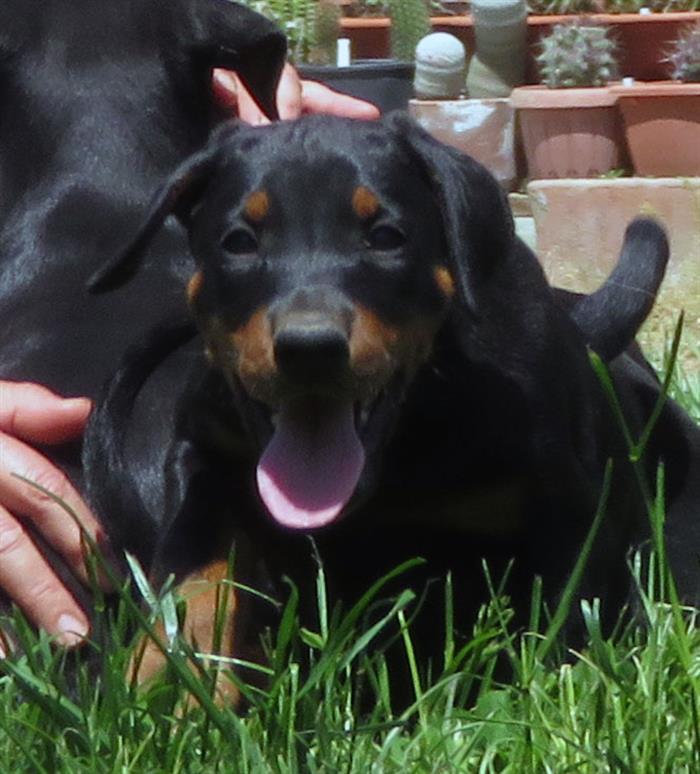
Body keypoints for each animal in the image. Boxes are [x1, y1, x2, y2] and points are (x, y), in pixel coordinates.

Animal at [86, 113, 700, 692]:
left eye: (385, 237)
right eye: (238, 241)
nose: (310, 349)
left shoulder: (567, 503)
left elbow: (564, 623)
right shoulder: (204, 450)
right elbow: (194, 570)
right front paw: (169, 682)